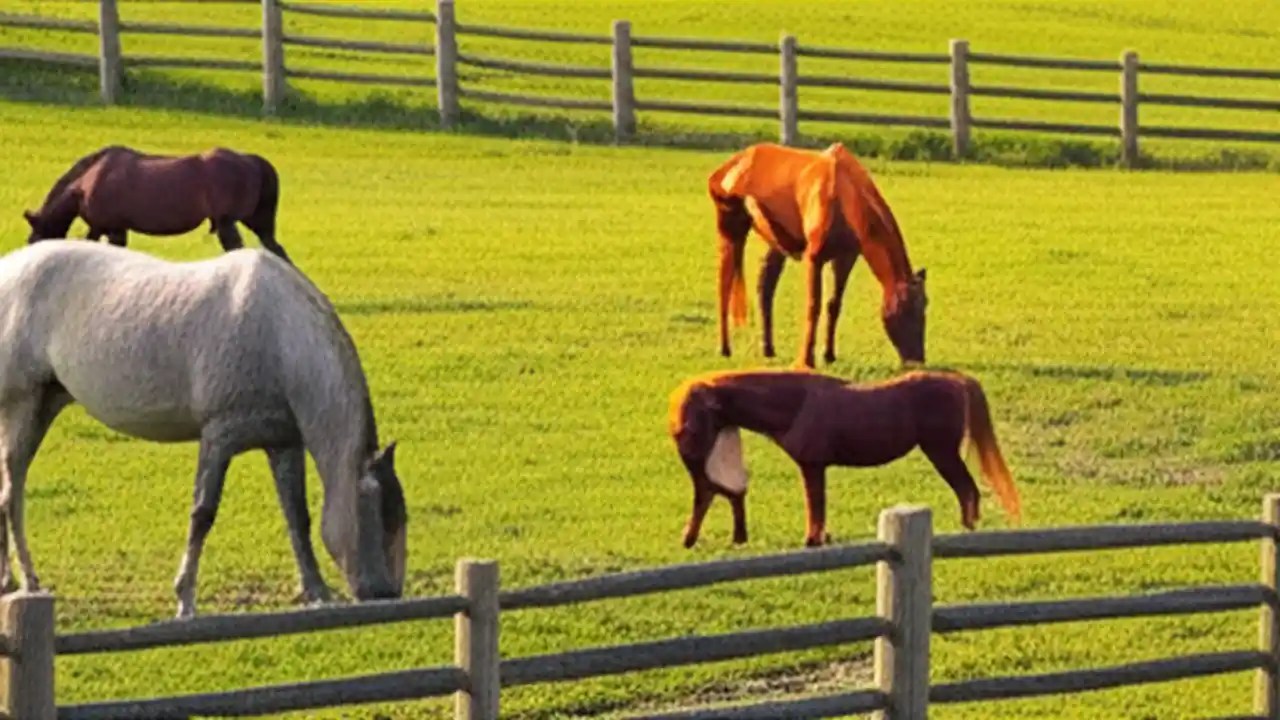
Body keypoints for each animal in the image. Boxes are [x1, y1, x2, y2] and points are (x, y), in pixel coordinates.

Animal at [0, 240, 404, 618]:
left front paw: (317, 591)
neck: (278, 336)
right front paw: (185, 599)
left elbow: (297, 516)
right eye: (376, 516)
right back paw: (26, 581)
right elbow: (203, 514)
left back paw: (13, 581)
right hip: (22, 406)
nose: (387, 594)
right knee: (12, 489)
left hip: (44, 405)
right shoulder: (219, 437)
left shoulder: (284, 444)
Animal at [22, 145, 293, 264]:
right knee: (277, 250)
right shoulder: (109, 228)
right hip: (257, 224)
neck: (89, 180)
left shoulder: (110, 228)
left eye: (34, 240)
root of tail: (251, 161)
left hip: (227, 223)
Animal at [667, 367, 1021, 548]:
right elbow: (818, 508)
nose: (686, 451)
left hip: (942, 453)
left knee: (967, 491)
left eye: (692, 421)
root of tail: (959, 380)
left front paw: (813, 540)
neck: (796, 404)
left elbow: (815, 507)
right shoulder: (816, 467)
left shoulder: (812, 466)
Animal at [707, 142, 927, 369]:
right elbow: (813, 306)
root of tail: (727, 169)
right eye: (907, 308)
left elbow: (834, 305)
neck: (843, 195)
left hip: (775, 244)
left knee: (765, 287)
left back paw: (768, 348)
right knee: (724, 285)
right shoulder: (814, 258)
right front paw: (806, 360)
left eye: (924, 305)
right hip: (731, 231)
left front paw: (829, 354)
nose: (917, 359)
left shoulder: (846, 257)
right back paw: (724, 348)